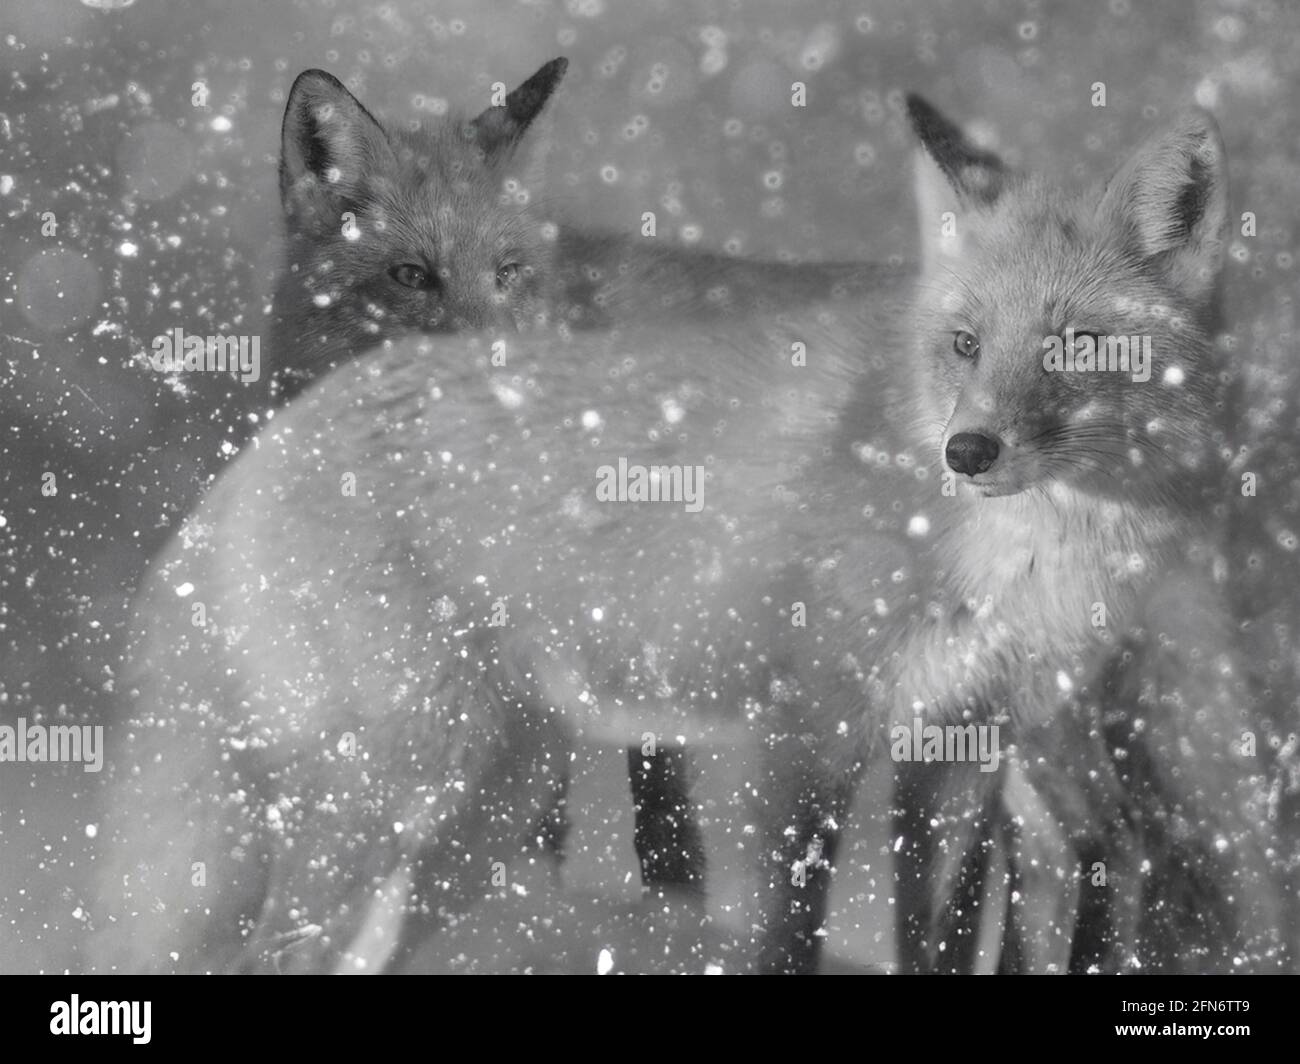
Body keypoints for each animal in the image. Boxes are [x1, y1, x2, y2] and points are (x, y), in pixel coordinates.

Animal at [89, 95, 1283, 974]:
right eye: (963, 343)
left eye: (1075, 345)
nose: (969, 450)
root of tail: (267, 448)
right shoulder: (788, 740)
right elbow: (776, 937)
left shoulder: (955, 750)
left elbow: (936, 943)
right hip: (402, 788)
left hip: (477, 811)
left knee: (1124, 851)